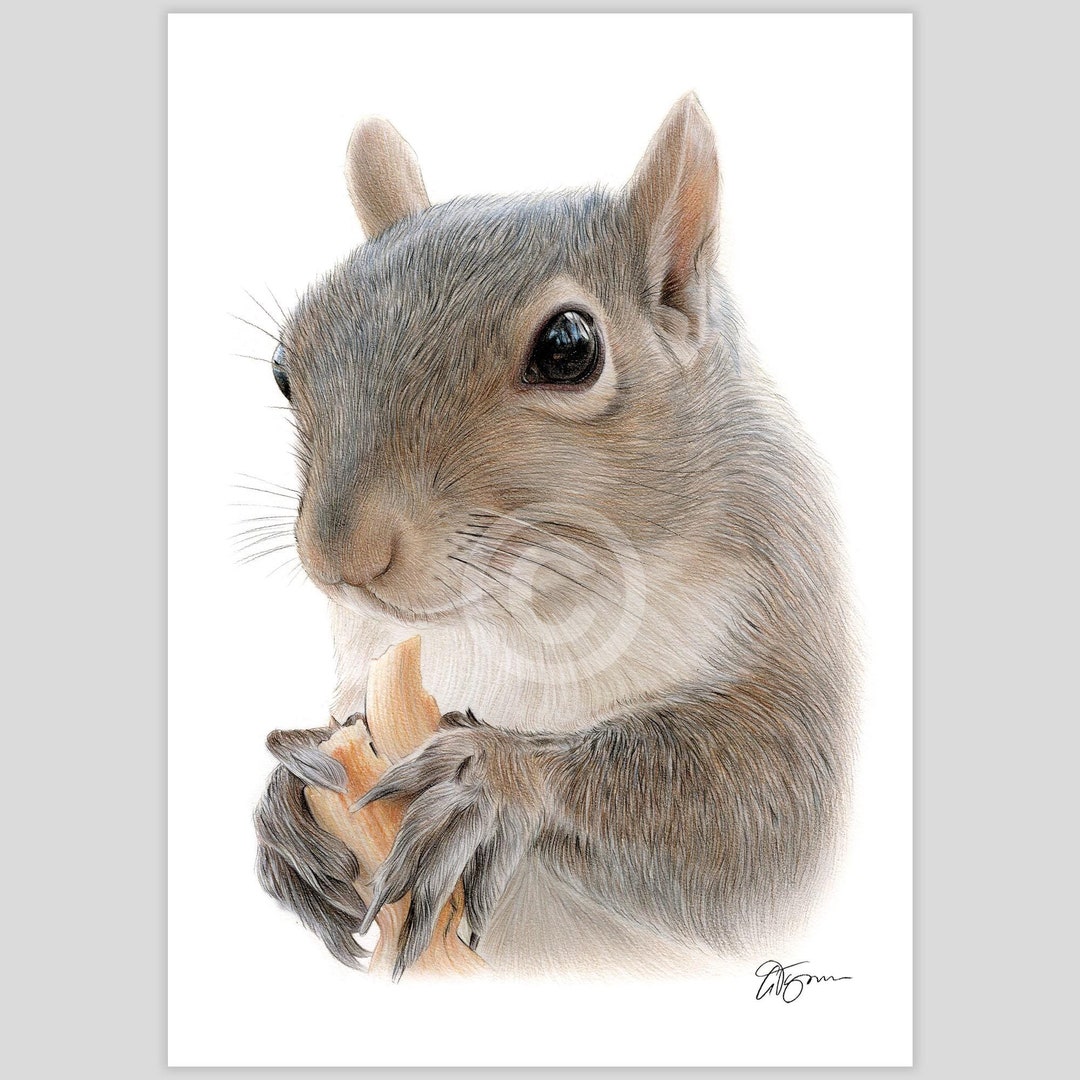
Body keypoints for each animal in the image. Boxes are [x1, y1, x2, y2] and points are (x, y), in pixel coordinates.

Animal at [253, 93, 858, 979]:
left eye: (570, 347)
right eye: (283, 365)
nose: (341, 555)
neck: (518, 618)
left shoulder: (792, 629)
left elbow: (768, 811)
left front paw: (495, 778)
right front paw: (284, 807)